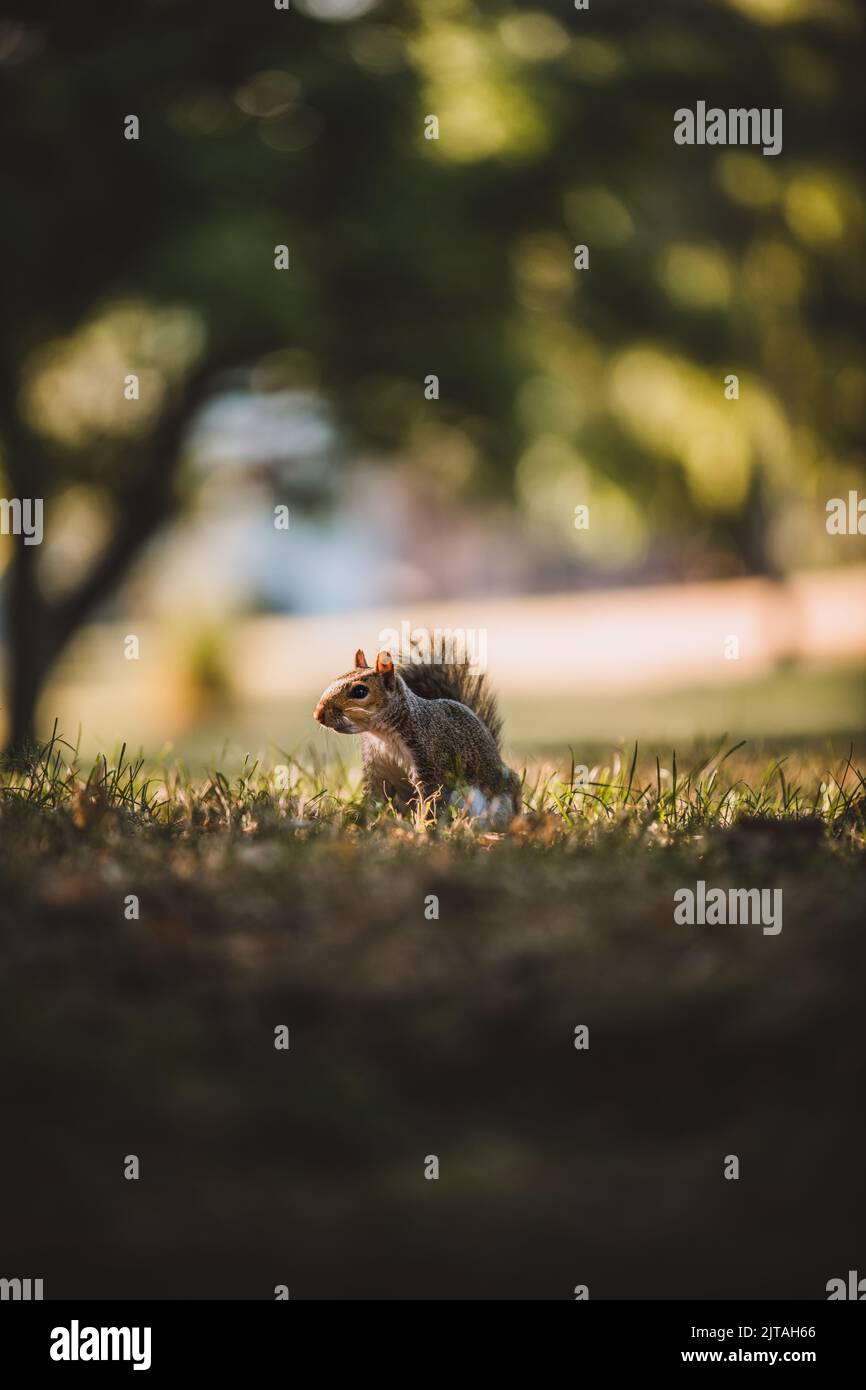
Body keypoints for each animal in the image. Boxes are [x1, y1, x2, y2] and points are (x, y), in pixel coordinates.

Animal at [314, 648, 521, 818]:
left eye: (359, 691)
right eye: (335, 680)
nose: (318, 714)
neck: (381, 736)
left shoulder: (429, 760)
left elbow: (432, 800)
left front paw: (425, 828)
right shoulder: (377, 767)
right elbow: (375, 797)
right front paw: (360, 819)